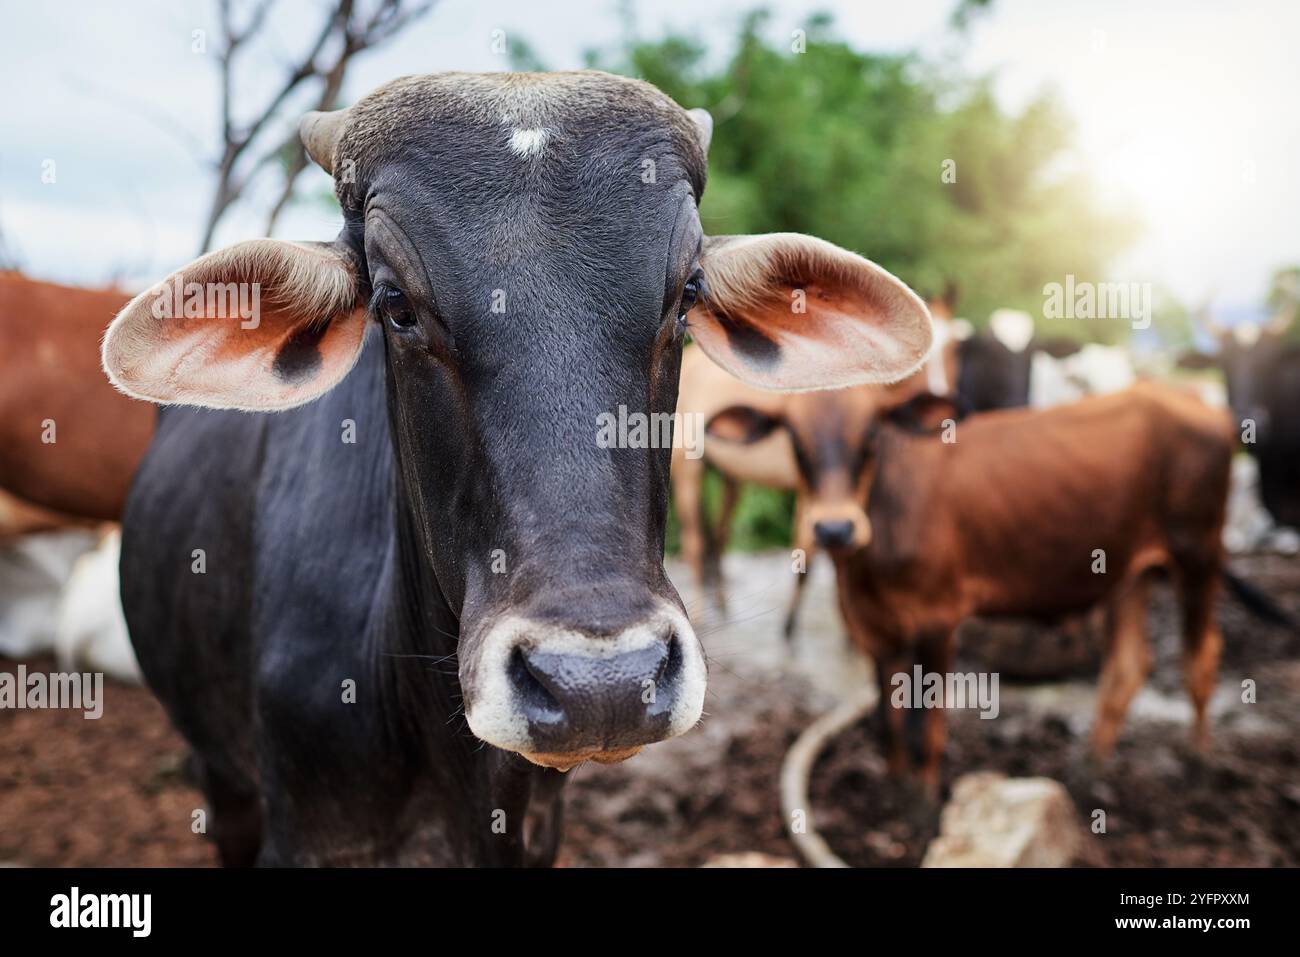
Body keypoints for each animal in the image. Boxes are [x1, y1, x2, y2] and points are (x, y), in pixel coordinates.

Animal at [706, 382, 1237, 792]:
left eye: (872, 433)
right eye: (795, 438)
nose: (834, 529)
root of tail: (1191, 398)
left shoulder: (937, 618)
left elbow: (924, 726)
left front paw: (921, 807)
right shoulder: (874, 629)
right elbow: (888, 723)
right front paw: (893, 794)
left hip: (1199, 553)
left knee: (1202, 656)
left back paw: (1200, 766)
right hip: (1132, 574)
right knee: (1127, 667)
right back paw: (1088, 773)